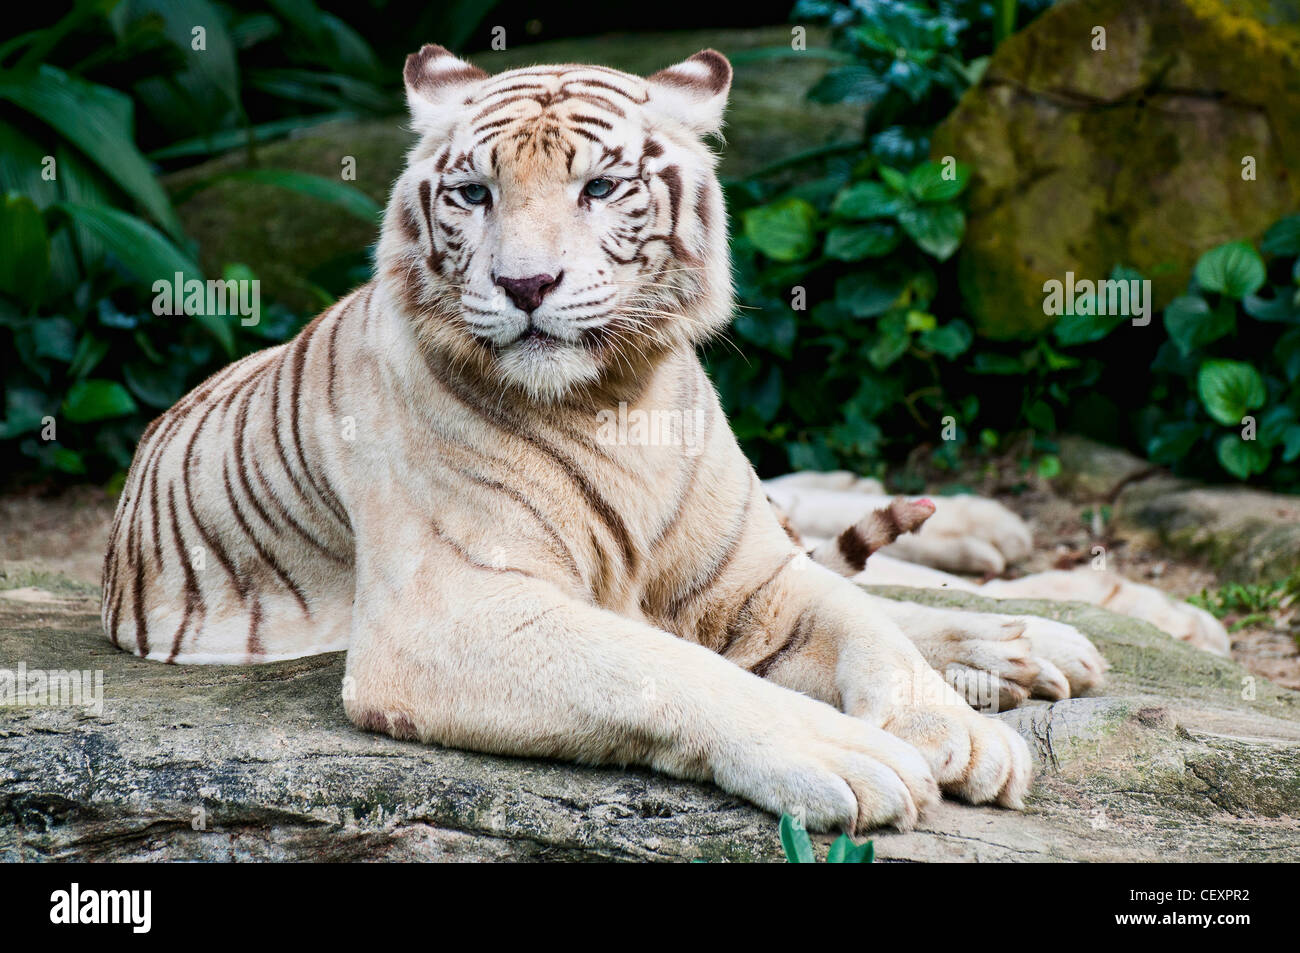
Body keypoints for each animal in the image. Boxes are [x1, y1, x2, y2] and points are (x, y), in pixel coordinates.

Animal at [101, 45, 1110, 833]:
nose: (526, 284)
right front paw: (845, 751)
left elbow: (868, 625)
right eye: (474, 193)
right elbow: (673, 670)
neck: (620, 401)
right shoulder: (444, 612)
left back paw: (1025, 643)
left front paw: (958, 733)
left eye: (599, 187)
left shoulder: (753, 578)